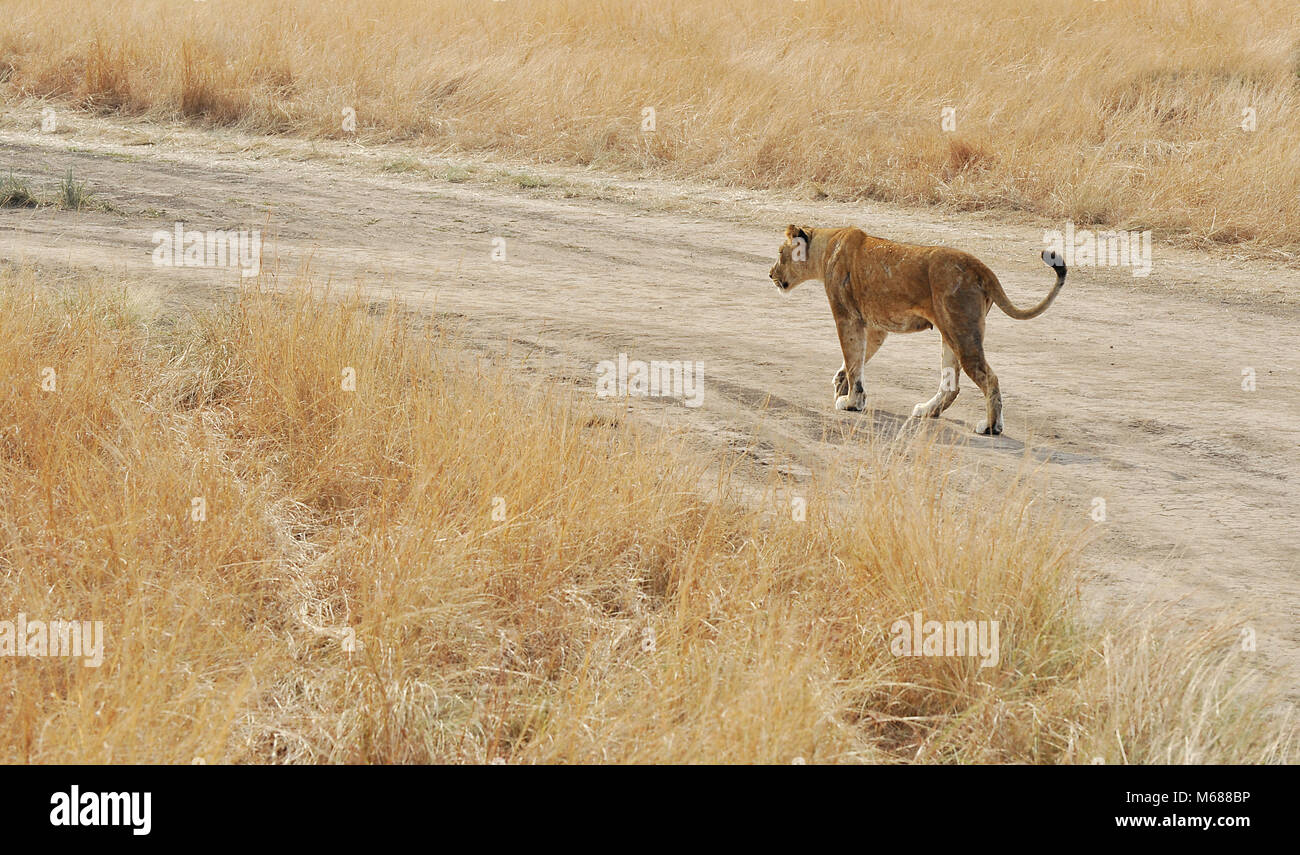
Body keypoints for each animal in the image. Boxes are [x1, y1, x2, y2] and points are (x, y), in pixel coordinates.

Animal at [768, 225, 1066, 435]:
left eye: (780, 254)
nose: (770, 274)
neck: (826, 245)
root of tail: (981, 267)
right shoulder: (875, 327)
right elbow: (857, 360)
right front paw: (842, 385)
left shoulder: (847, 316)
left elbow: (853, 361)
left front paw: (851, 401)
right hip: (950, 333)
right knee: (951, 386)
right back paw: (927, 411)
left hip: (961, 332)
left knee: (989, 378)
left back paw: (991, 427)